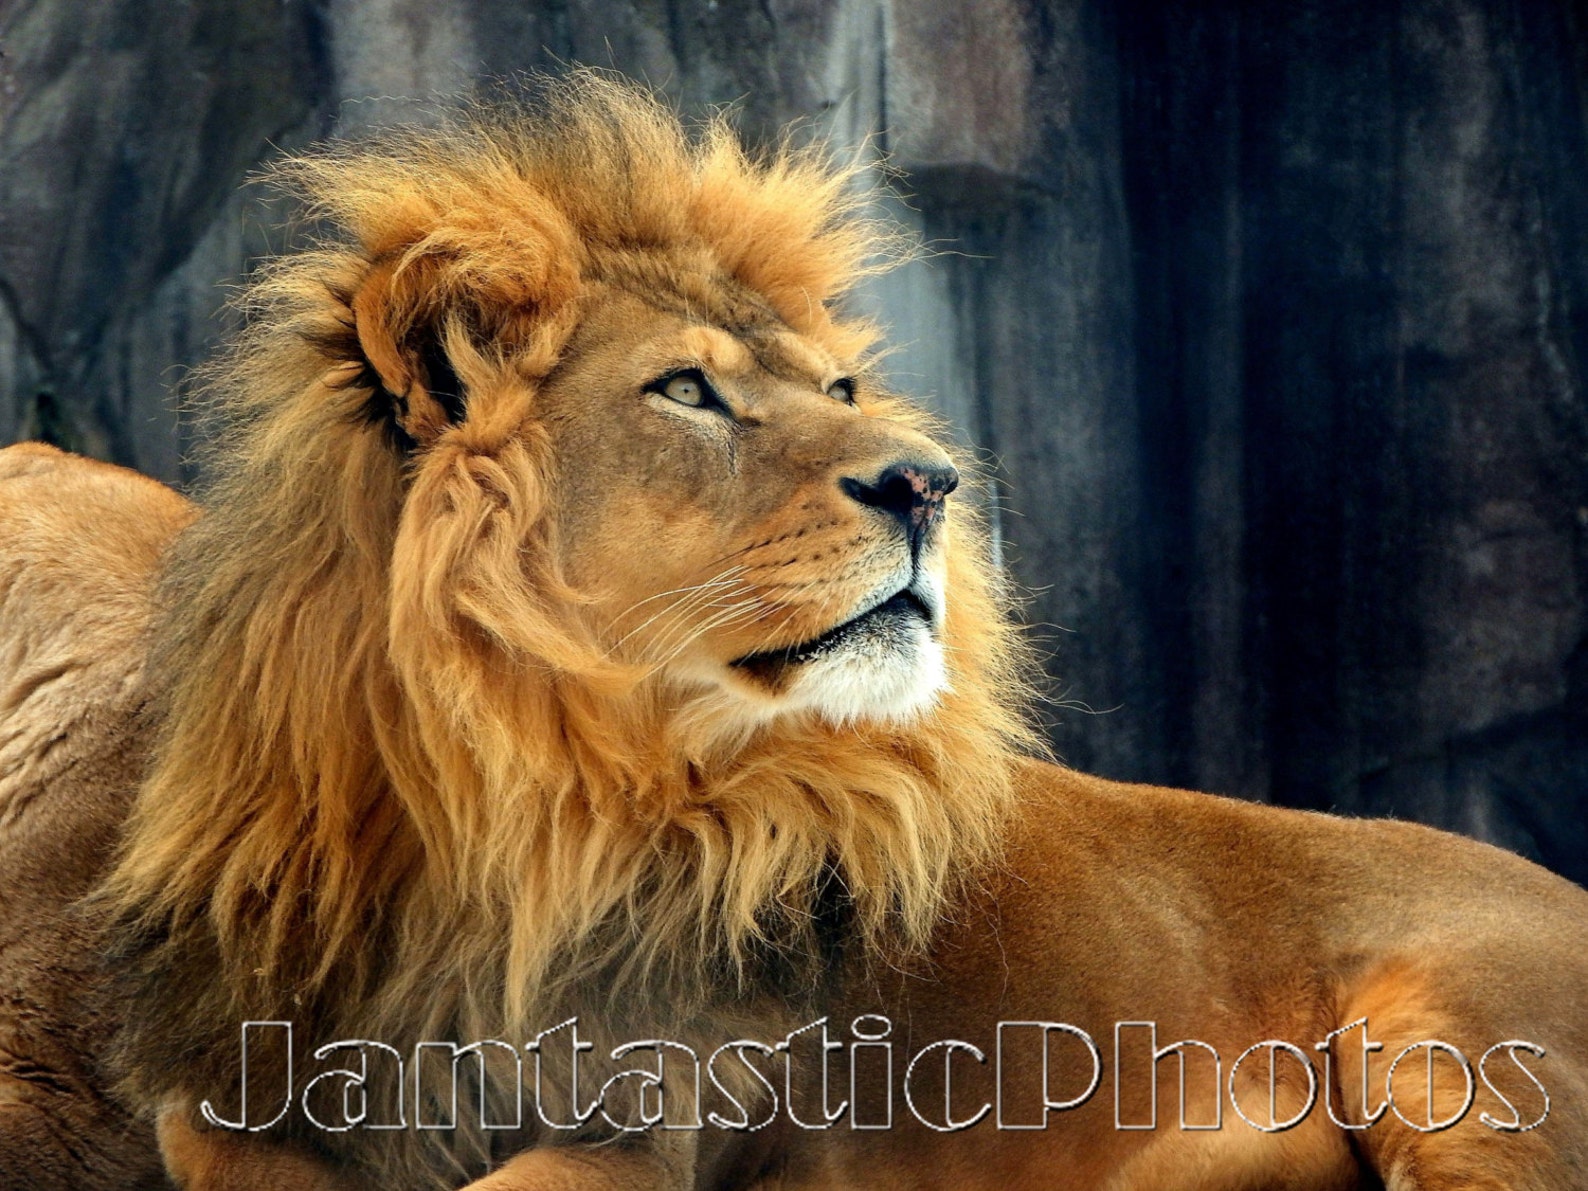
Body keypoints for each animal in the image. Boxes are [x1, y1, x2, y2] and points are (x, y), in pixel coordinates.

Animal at [1, 72, 1586, 1191]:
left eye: (836, 387)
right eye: (688, 391)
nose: (932, 481)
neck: (509, 805)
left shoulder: (657, 1122)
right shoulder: (228, 1089)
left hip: (1453, 1048)